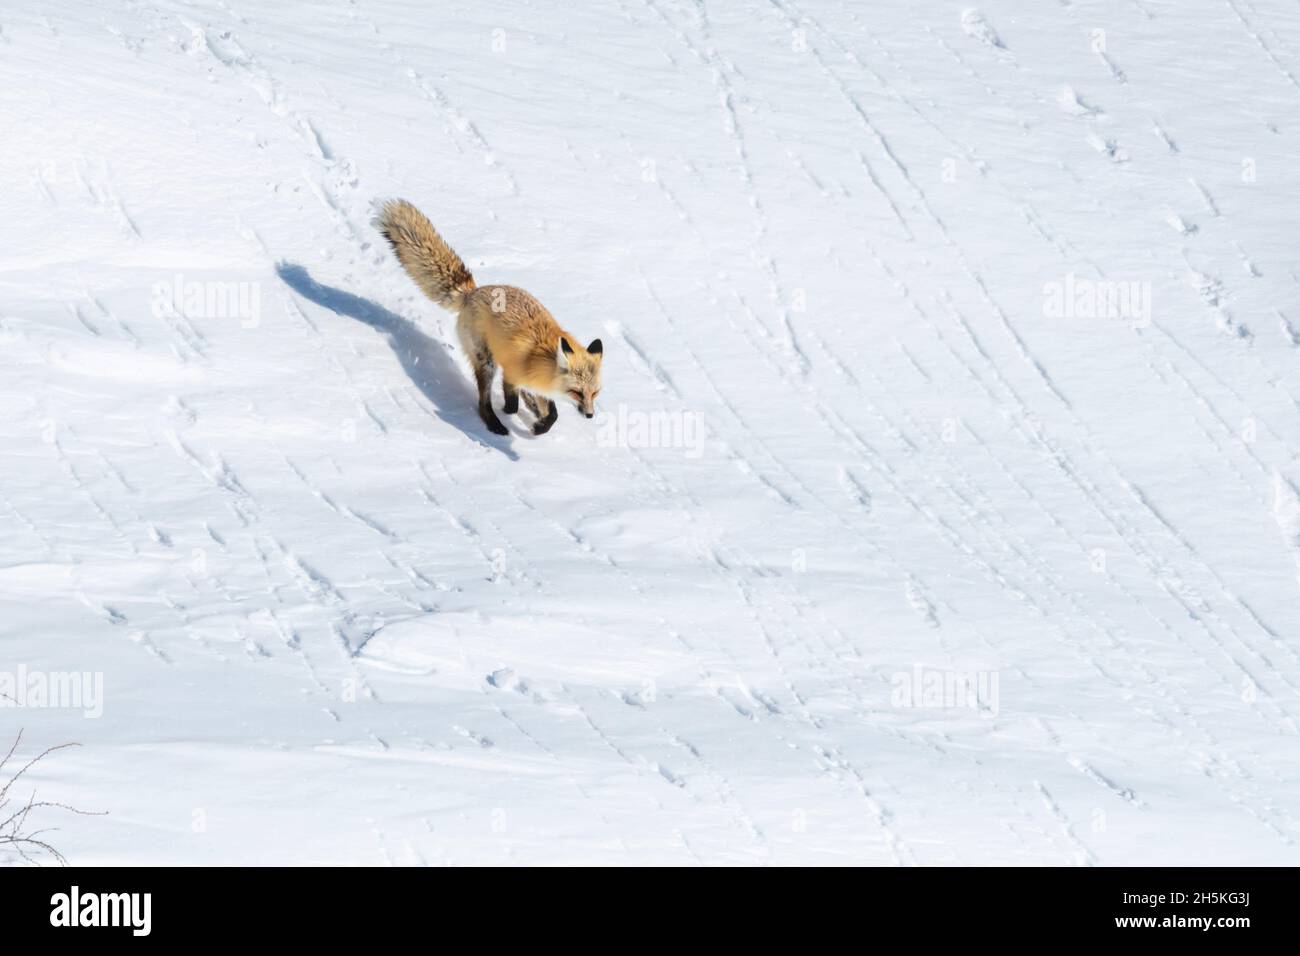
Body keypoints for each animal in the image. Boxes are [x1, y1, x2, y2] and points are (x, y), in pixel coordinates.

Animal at [373, 199, 602, 437]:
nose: (590, 415)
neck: (542, 360)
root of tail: (473, 291)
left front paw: (539, 423)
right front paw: (514, 413)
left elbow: (552, 414)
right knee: (483, 403)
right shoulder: (511, 374)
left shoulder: (535, 384)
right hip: (486, 361)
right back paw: (494, 423)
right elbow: (513, 402)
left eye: (594, 393)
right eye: (577, 392)